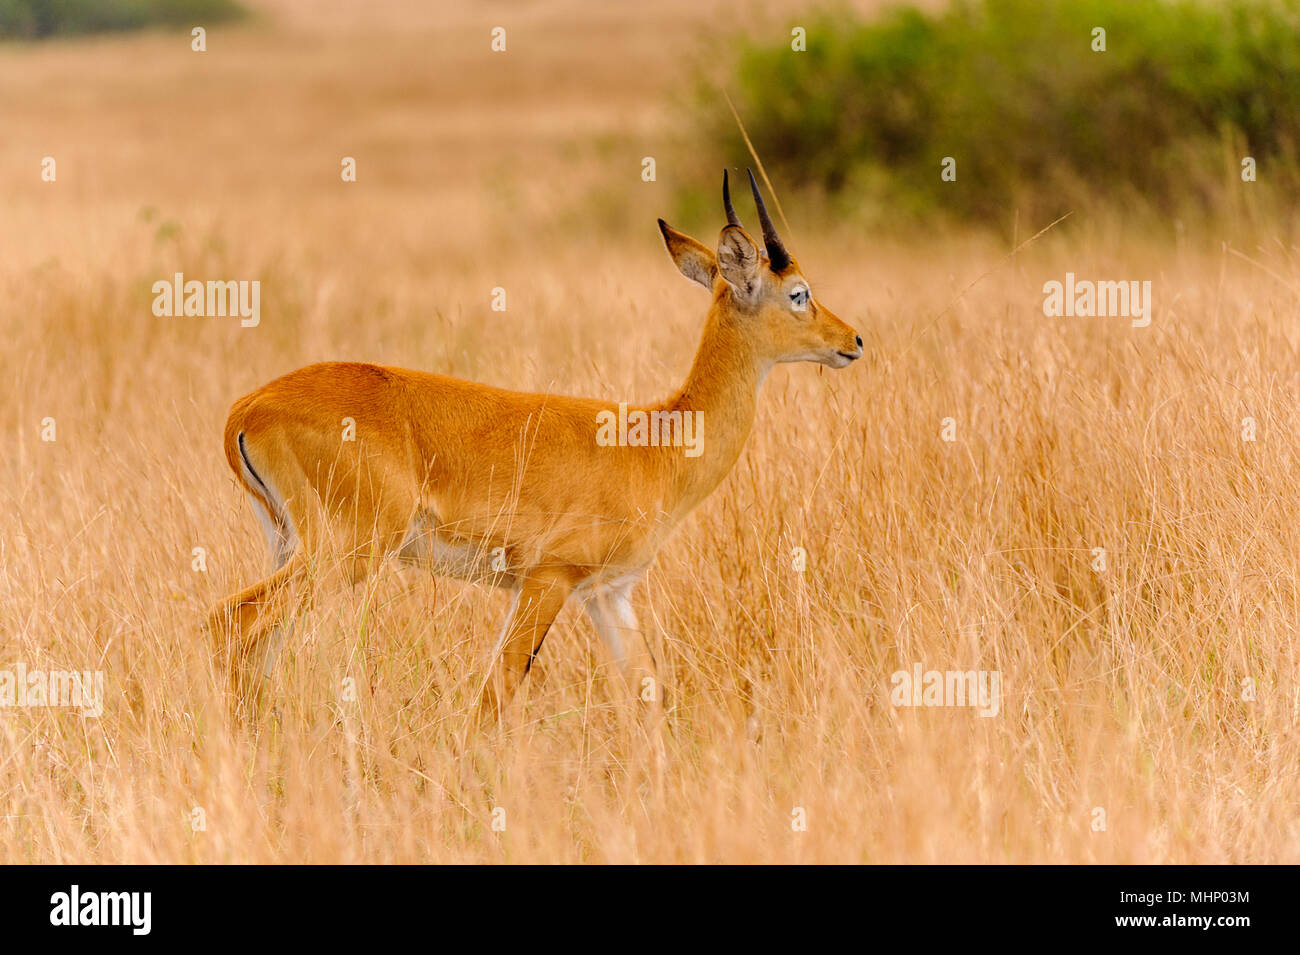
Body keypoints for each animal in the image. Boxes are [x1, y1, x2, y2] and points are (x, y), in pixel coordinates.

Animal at [207, 170, 862, 728]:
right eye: (799, 293)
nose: (854, 339)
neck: (654, 444)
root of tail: (247, 409)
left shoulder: (608, 594)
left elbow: (649, 694)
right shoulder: (548, 579)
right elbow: (494, 696)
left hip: (291, 544)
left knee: (260, 642)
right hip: (348, 549)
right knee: (232, 620)